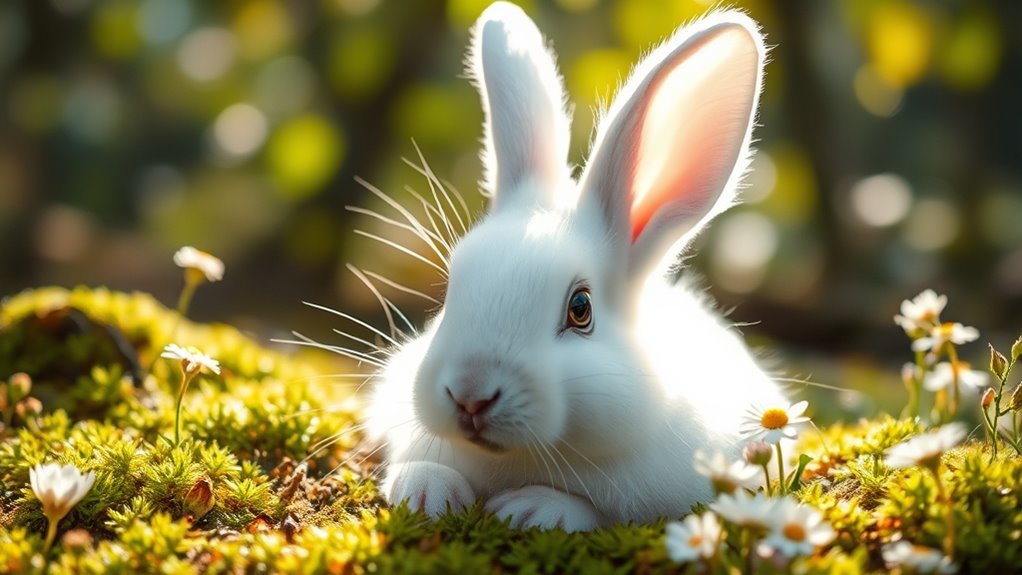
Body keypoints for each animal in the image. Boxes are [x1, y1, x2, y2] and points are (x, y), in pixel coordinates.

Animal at [363, 1, 788, 532]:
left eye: (580, 308)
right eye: (450, 293)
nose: (470, 395)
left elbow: (591, 511)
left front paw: (529, 508)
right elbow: (423, 463)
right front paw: (426, 492)